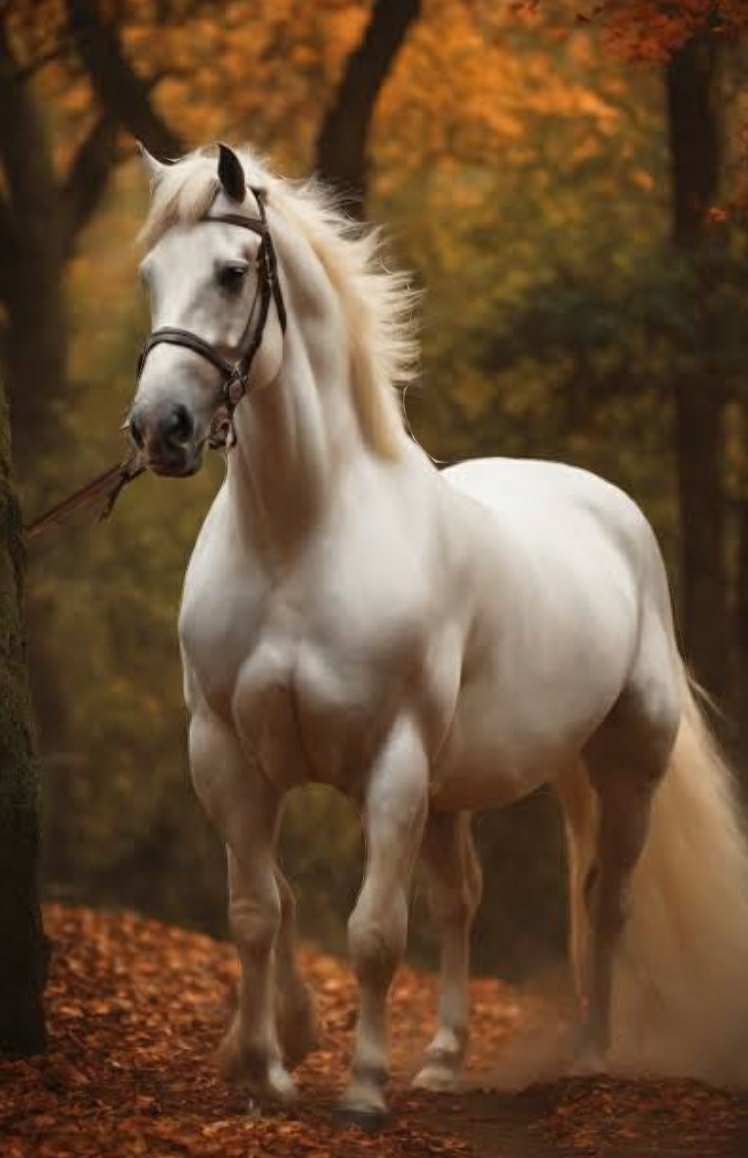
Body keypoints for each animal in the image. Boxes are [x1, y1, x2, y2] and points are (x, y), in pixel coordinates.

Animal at [128, 141, 748, 1121]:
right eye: (150, 275)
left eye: (232, 272)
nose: (161, 429)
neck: (301, 535)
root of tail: (613, 513)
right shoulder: (227, 753)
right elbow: (260, 910)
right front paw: (266, 1063)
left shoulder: (393, 761)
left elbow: (376, 932)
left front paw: (362, 1088)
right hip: (453, 790)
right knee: (464, 900)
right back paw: (447, 1058)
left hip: (623, 770)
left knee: (605, 900)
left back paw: (590, 1053)